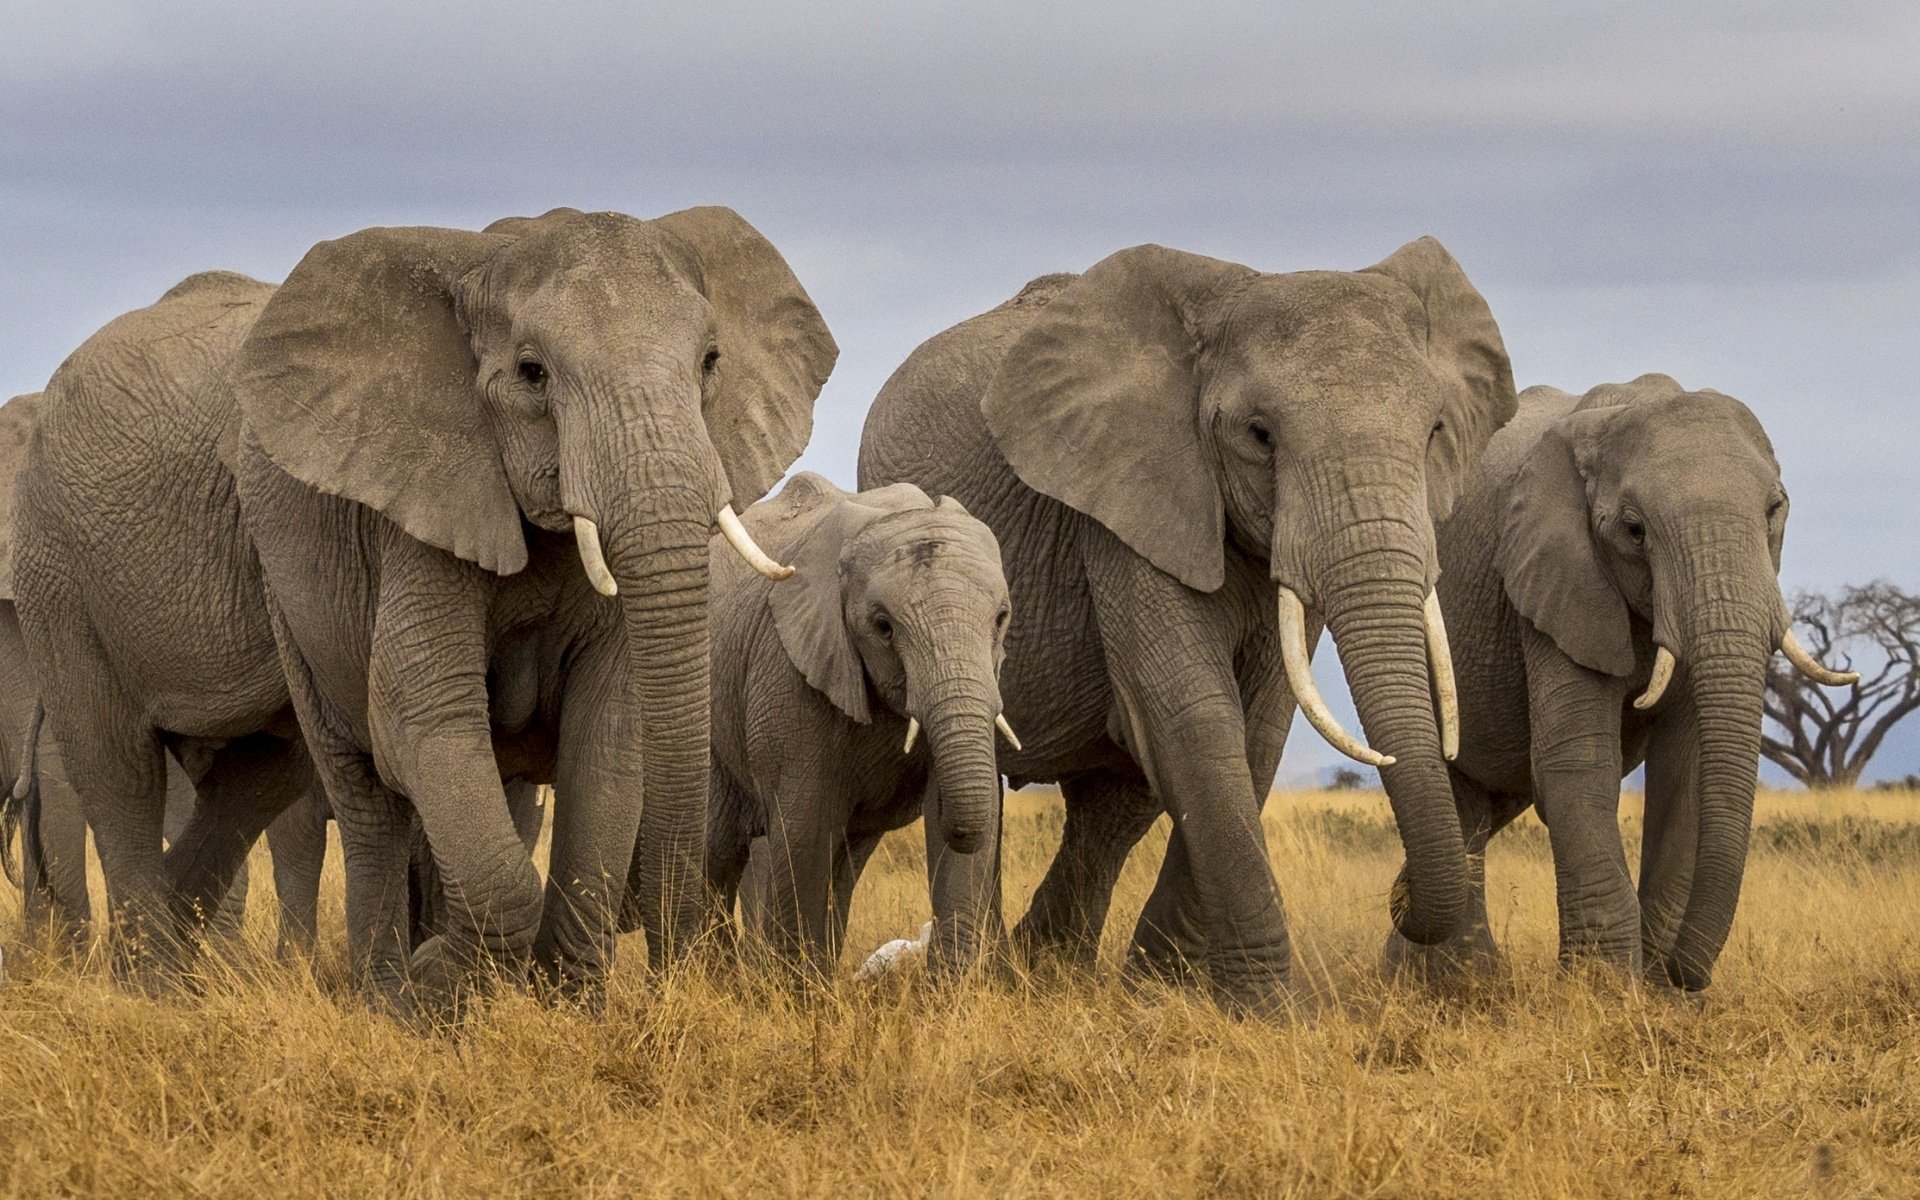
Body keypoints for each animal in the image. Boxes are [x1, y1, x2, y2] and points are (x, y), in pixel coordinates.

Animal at [228, 206, 835, 1009]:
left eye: (710, 361)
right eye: (531, 373)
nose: (672, 970)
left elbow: (609, 731)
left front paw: (568, 1005)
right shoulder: (423, 507)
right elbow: (420, 717)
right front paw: (437, 986)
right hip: (288, 603)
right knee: (367, 799)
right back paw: (386, 996)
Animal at [702, 473, 1013, 976]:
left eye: (1002, 619)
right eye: (883, 627)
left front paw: (954, 989)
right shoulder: (790, 664)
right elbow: (804, 825)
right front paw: (793, 991)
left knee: (844, 862)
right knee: (718, 849)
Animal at [858, 238, 1517, 1013]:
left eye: (1437, 431)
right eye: (1259, 435)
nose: (1402, 892)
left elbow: (1257, 728)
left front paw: (1160, 993)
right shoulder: (1122, 501)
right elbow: (1196, 717)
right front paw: (1267, 1014)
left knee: (1115, 806)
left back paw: (1051, 971)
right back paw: (976, 980)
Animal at [1379, 376, 1857, 990]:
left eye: (1776, 509)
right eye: (1634, 531)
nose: (1688, 975)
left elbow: (1687, 772)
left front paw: (1663, 994)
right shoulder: (1554, 576)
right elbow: (1578, 763)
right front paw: (1605, 988)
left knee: (1485, 800)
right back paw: (1457, 978)